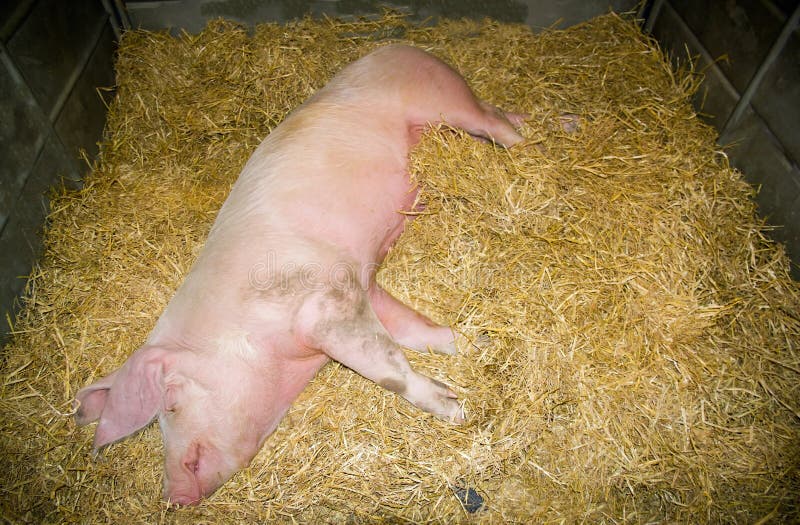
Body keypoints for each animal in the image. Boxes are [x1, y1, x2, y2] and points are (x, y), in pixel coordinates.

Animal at [73, 44, 525, 506]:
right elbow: (418, 332)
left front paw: (456, 409)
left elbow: (387, 367)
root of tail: (400, 46)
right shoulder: (363, 287)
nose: (174, 496)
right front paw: (482, 344)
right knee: (498, 113)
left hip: (443, 97)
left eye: (170, 404)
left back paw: (530, 151)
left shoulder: (326, 300)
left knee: (496, 126)